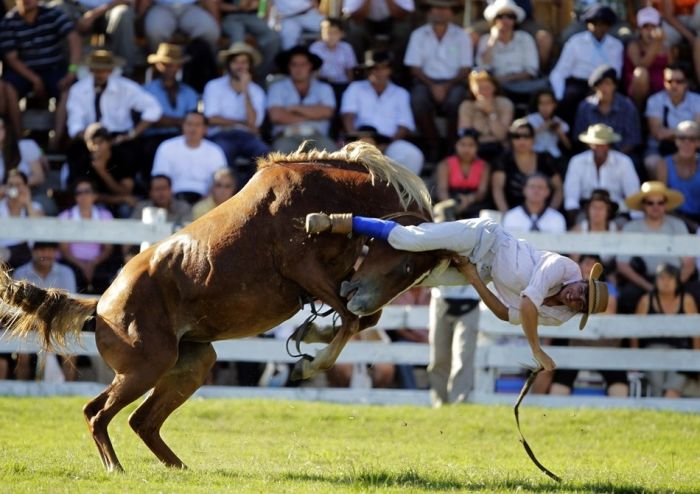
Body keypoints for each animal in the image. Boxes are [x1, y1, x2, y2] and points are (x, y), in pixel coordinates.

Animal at [0, 142, 451, 472]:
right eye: (407, 262)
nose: (364, 291)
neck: (324, 194)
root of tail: (103, 305)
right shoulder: (305, 269)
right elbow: (354, 318)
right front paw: (309, 362)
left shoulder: (335, 280)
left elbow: (359, 317)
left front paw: (313, 336)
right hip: (144, 367)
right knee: (97, 413)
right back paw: (117, 469)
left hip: (191, 363)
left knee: (141, 421)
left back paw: (180, 468)